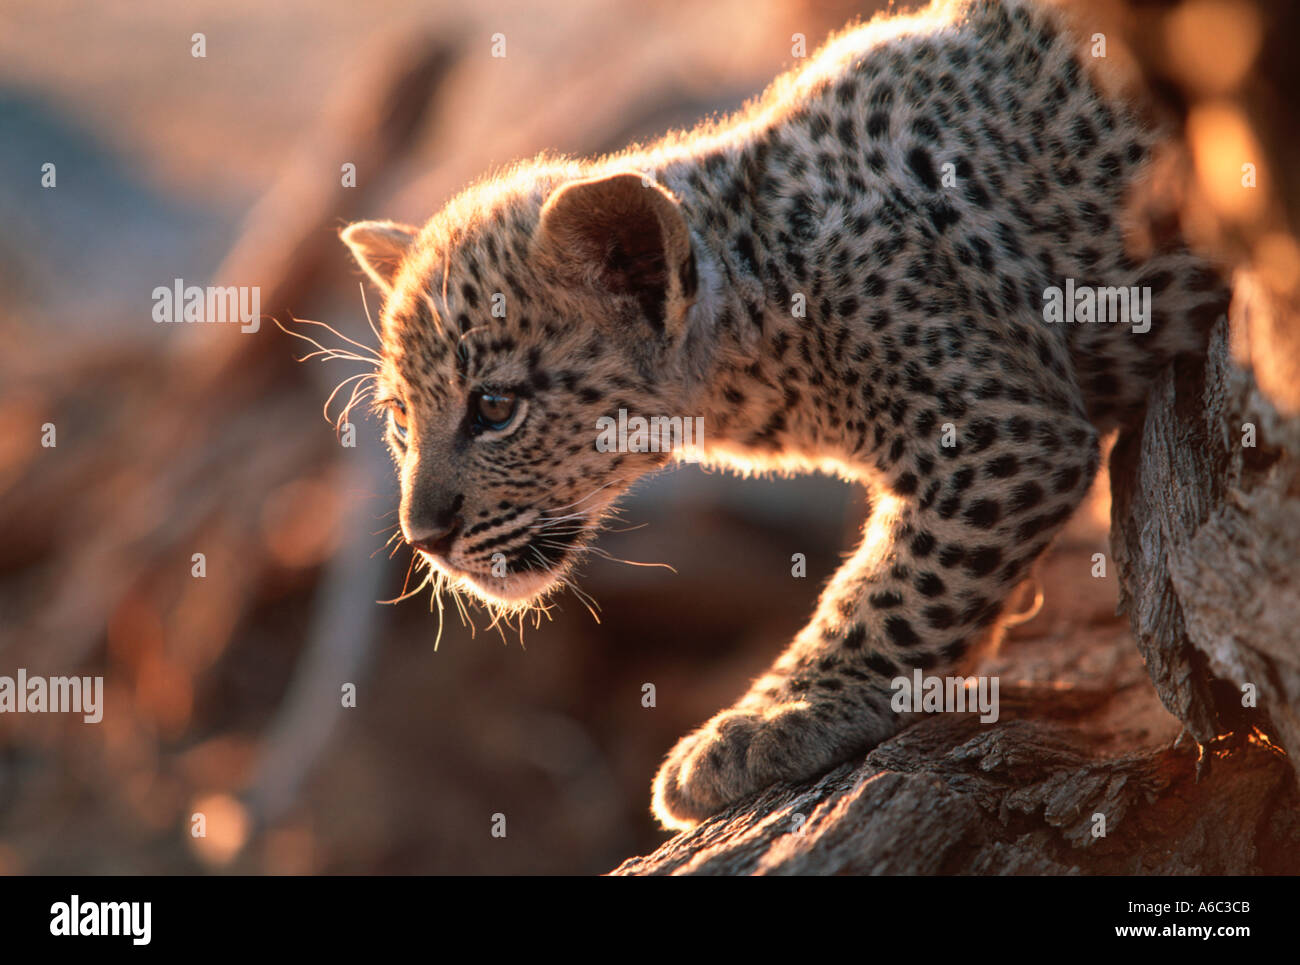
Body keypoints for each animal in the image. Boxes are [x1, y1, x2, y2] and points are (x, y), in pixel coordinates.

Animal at [337, 0, 1231, 832]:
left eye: (494, 408)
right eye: (400, 421)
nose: (423, 536)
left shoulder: (1002, 429)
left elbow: (898, 587)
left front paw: (763, 725)